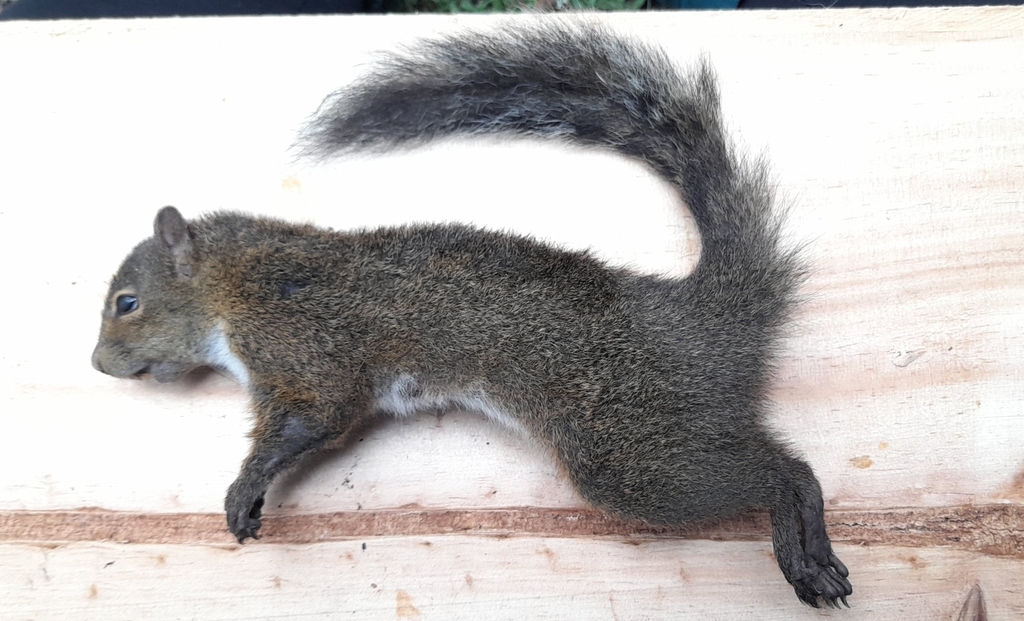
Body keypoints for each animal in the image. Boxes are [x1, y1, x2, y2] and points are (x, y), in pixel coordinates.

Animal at [91, 21, 851, 608]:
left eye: (127, 303)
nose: (98, 365)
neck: (240, 281)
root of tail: (701, 312)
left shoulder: (306, 348)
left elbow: (314, 417)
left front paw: (245, 486)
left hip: (636, 448)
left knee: (784, 469)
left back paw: (805, 549)